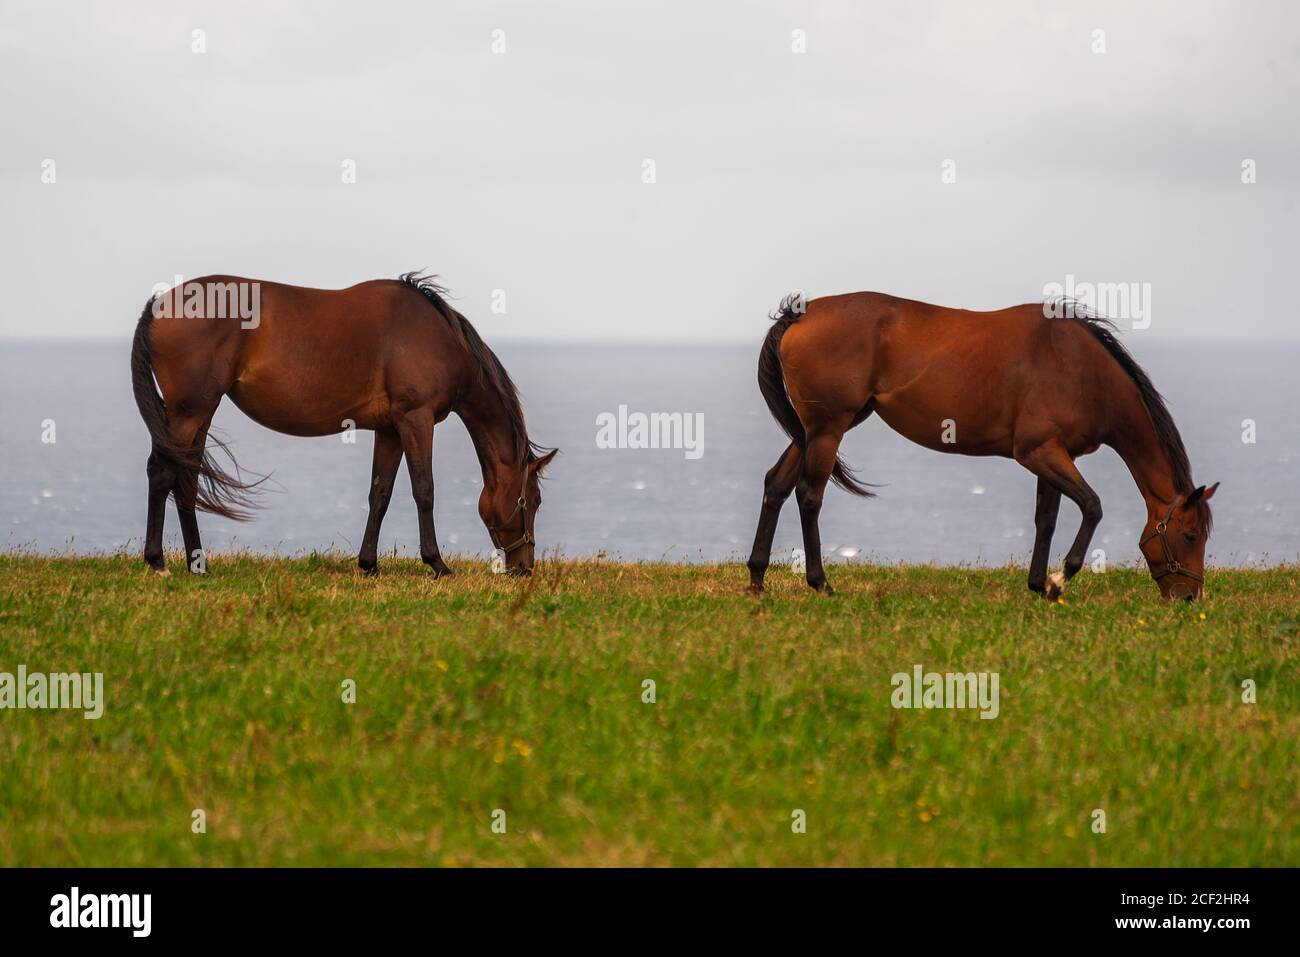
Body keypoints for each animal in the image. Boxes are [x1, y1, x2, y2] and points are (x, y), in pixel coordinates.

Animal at [130, 272, 556, 577]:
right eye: (532, 501)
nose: (524, 567)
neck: (440, 338)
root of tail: (160, 303)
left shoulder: (390, 429)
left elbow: (380, 493)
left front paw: (369, 564)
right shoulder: (416, 420)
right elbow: (424, 490)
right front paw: (436, 563)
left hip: (200, 412)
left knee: (185, 477)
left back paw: (197, 564)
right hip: (190, 412)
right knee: (163, 473)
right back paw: (158, 561)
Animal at [746, 292, 1218, 601]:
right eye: (1190, 535)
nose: (1189, 598)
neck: (1081, 369)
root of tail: (800, 314)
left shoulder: (1052, 456)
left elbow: (1046, 519)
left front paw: (1038, 586)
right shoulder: (1041, 454)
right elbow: (1092, 506)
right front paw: (1059, 580)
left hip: (812, 431)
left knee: (776, 485)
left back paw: (756, 579)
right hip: (828, 429)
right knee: (809, 496)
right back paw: (820, 583)